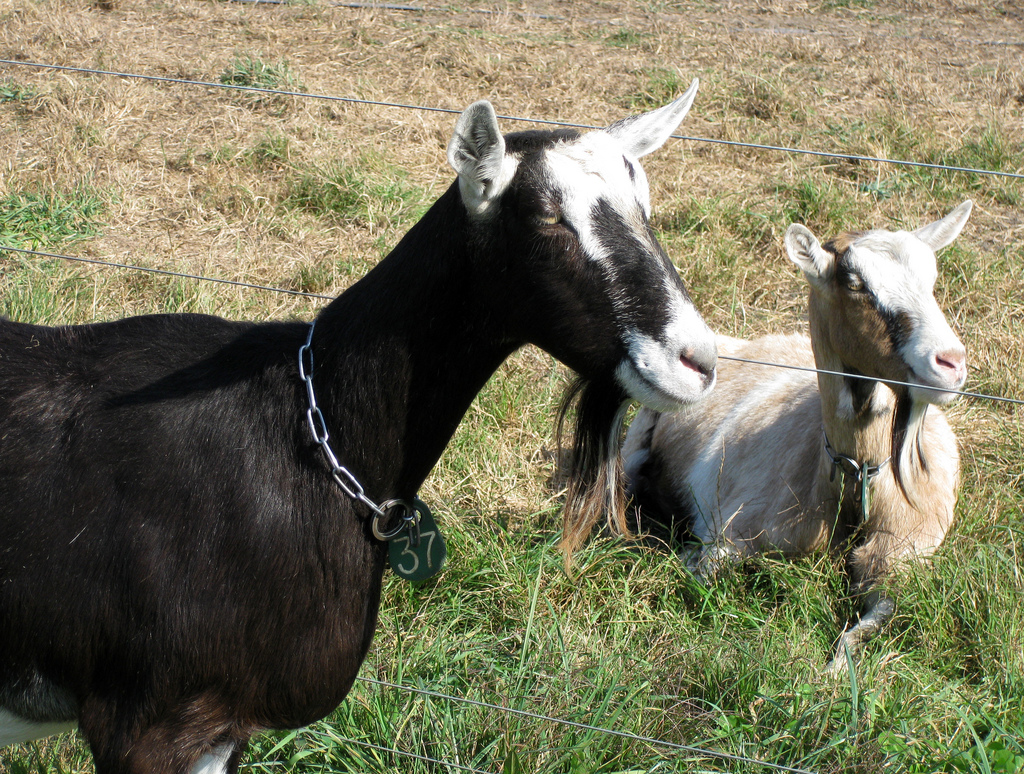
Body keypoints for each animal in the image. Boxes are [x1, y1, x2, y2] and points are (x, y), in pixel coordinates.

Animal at [0, 86, 718, 773]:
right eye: (546, 216)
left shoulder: (222, 728)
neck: (308, 428)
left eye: (644, 206)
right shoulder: (146, 725)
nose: (699, 362)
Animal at [621, 201, 972, 673]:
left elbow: (867, 626)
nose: (950, 363)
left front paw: (833, 673)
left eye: (932, 278)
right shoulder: (731, 532)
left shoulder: (902, 557)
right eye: (854, 283)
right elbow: (694, 574)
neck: (853, 480)